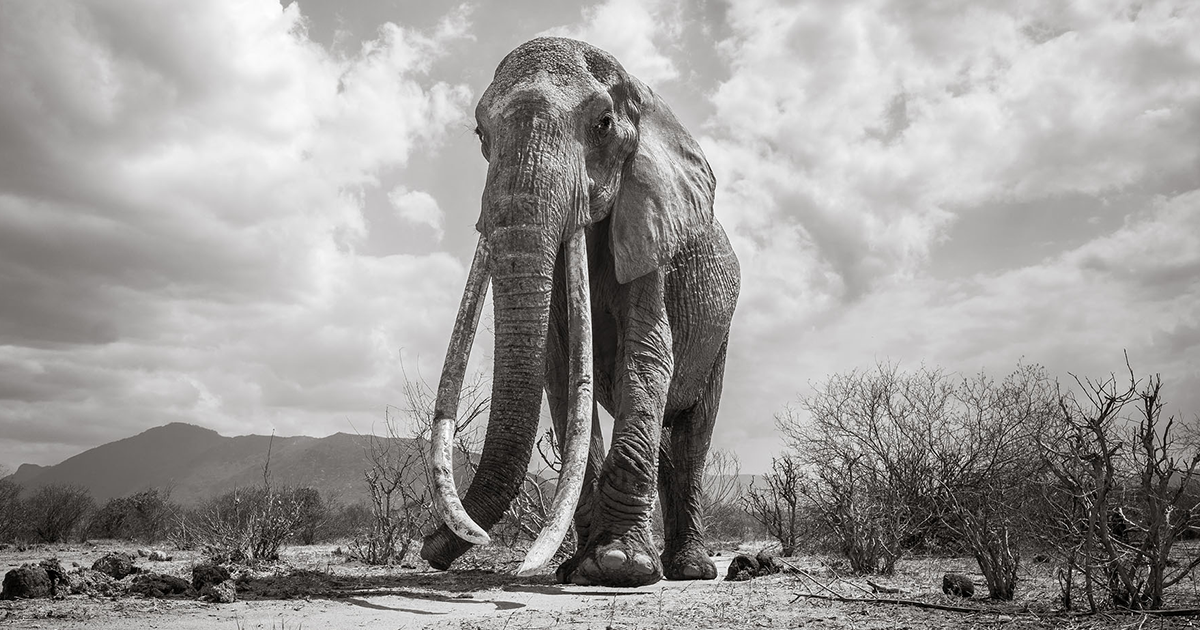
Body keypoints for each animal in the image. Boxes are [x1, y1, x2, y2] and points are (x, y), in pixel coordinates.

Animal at [419, 36, 740, 588]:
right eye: (481, 134)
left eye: (603, 124)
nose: (427, 550)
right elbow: (563, 371)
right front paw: (578, 570)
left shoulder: (650, 228)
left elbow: (647, 353)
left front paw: (619, 567)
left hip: (721, 335)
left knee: (693, 437)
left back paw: (690, 570)